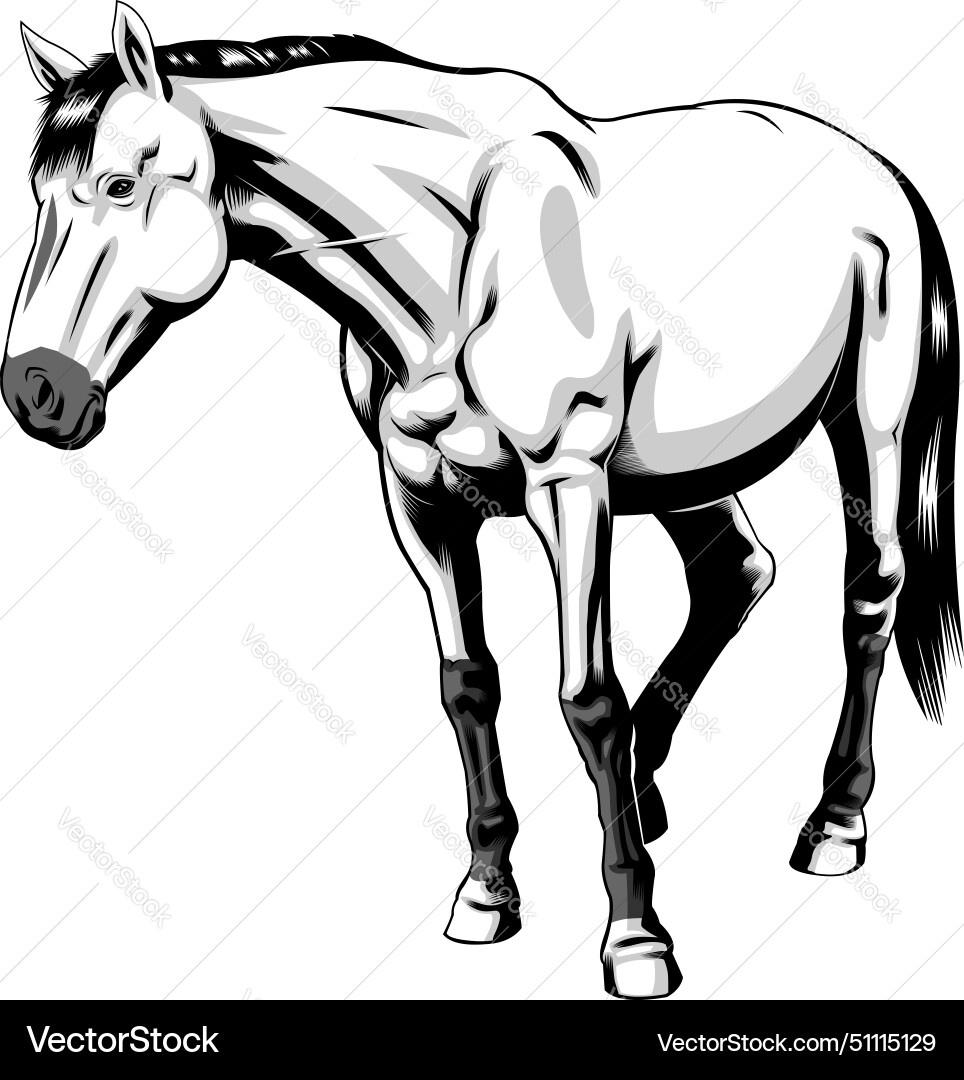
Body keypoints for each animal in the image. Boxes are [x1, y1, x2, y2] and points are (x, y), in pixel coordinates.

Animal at [5, 3, 960, 999]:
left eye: (119, 184)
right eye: (37, 191)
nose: (37, 391)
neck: (452, 269)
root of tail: (881, 173)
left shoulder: (571, 485)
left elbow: (588, 701)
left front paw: (636, 936)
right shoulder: (419, 502)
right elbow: (468, 687)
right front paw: (488, 893)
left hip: (869, 428)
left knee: (869, 594)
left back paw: (834, 823)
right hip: (681, 467)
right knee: (735, 573)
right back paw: (649, 789)